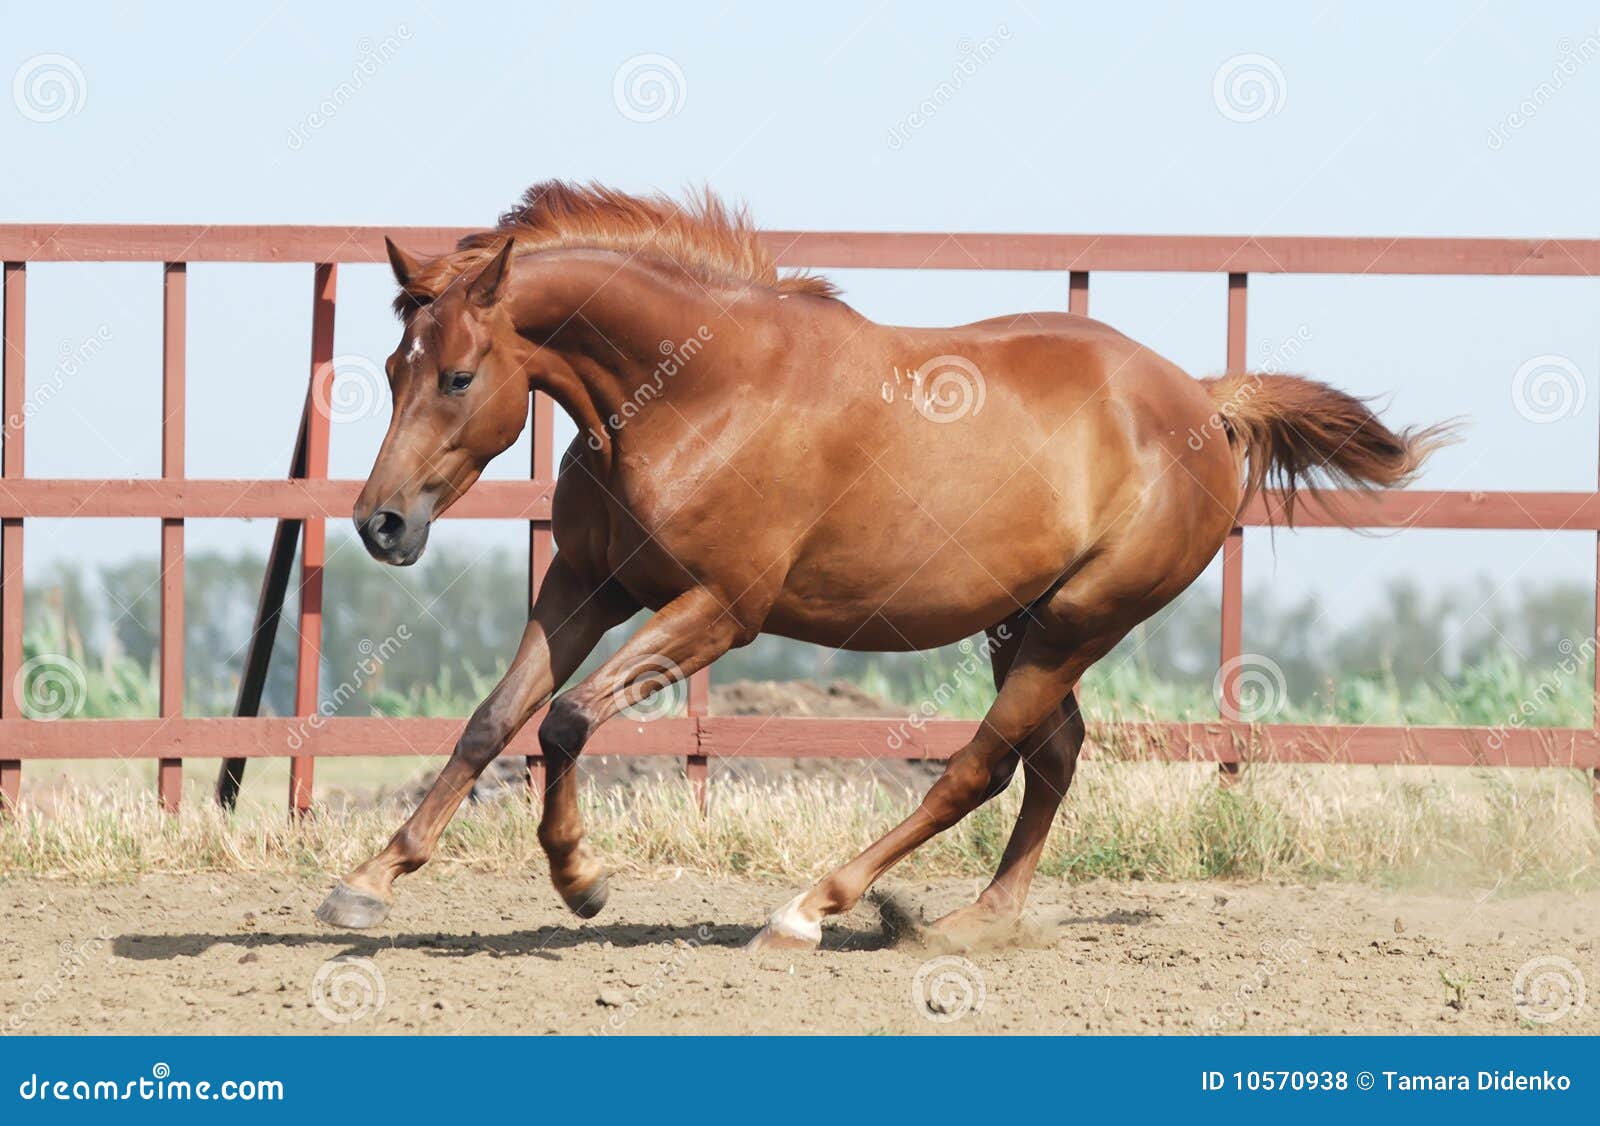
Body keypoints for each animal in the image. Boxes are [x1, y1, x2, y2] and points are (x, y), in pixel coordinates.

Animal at [313, 181, 1451, 949]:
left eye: (460, 376)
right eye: (393, 367)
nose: (382, 523)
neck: (693, 389)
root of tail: (1204, 403)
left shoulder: (719, 608)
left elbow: (566, 718)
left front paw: (581, 877)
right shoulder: (587, 586)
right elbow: (494, 718)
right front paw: (368, 880)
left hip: (1080, 619)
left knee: (980, 766)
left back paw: (812, 909)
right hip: (1023, 622)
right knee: (1051, 757)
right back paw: (975, 921)